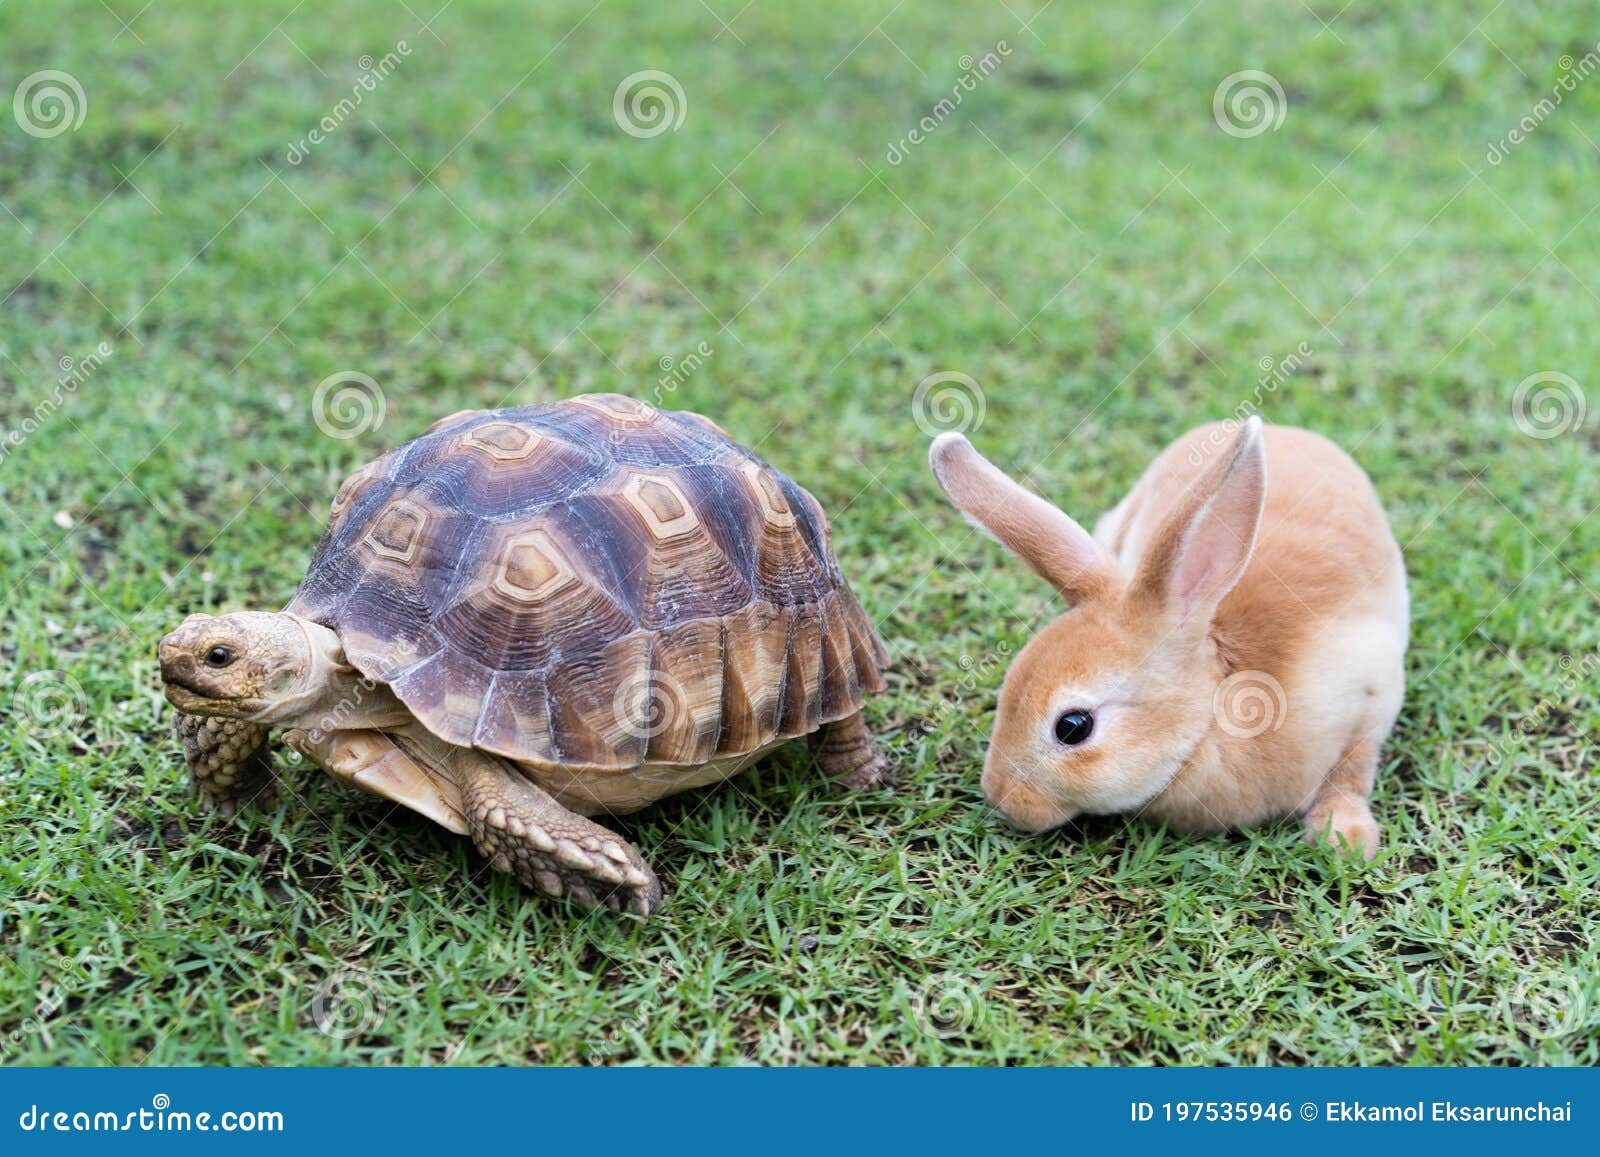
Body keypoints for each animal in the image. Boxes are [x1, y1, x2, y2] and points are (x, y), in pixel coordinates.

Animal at [928, 416, 1408, 858]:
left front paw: (1345, 840)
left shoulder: (1372, 690)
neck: (1213, 712)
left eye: (1073, 727)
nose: (1003, 800)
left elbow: (1352, 768)